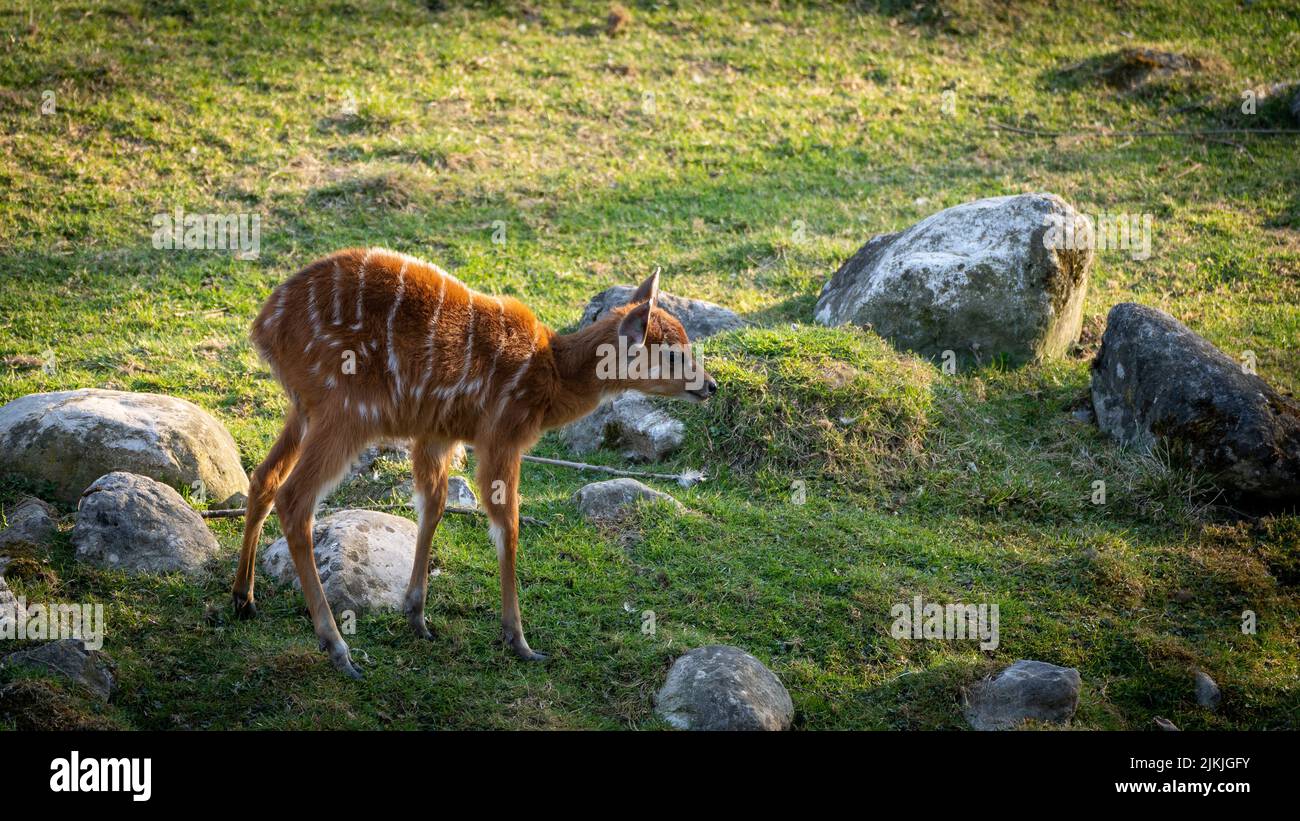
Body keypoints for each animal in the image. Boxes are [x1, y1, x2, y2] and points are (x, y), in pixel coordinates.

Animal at [232, 247, 716, 678]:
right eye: (673, 352)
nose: (710, 385)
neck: (551, 377)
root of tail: (264, 326)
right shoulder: (500, 435)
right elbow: (508, 526)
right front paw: (519, 640)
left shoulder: (436, 434)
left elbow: (433, 505)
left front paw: (417, 616)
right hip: (346, 411)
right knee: (295, 498)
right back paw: (337, 648)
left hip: (305, 408)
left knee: (264, 477)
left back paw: (244, 597)